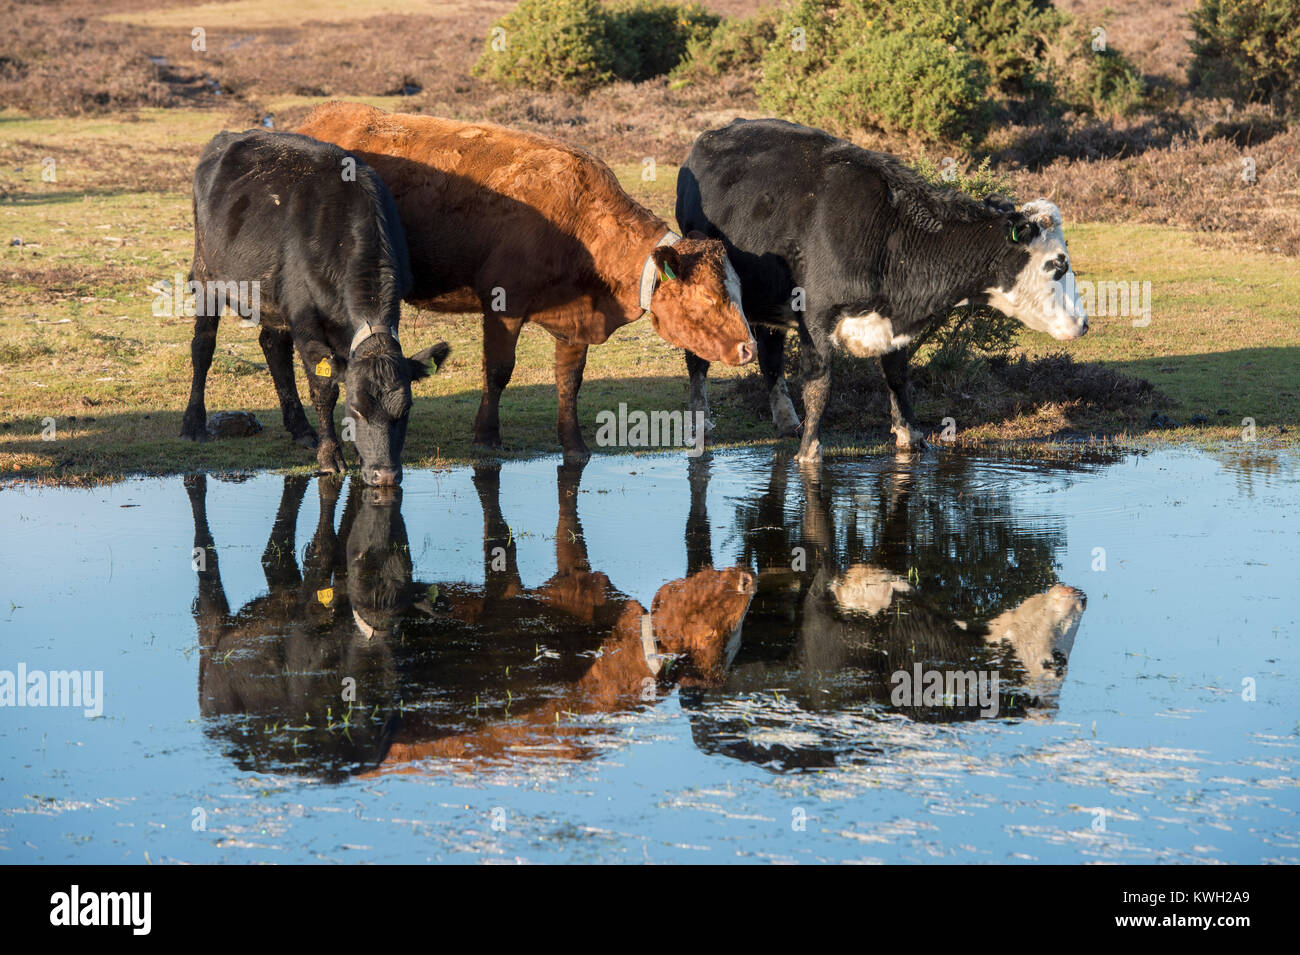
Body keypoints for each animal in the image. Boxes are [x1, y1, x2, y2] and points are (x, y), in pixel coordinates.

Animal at [181, 129, 450, 486]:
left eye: (405, 410)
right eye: (357, 407)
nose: (385, 475)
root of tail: (227, 137)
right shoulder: (305, 316)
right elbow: (324, 389)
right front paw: (330, 456)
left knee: (274, 348)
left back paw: (301, 428)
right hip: (205, 274)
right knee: (203, 346)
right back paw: (193, 424)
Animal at [296, 102, 757, 464]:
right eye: (710, 297)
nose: (748, 348)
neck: (581, 225)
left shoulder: (576, 319)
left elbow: (569, 380)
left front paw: (574, 444)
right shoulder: (503, 304)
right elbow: (499, 371)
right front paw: (487, 436)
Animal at [676, 118, 1089, 464]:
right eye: (1058, 264)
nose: (1083, 324)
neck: (891, 234)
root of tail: (714, 134)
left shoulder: (895, 320)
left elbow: (897, 376)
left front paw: (910, 436)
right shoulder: (817, 319)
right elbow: (819, 388)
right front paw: (809, 450)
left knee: (771, 353)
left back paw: (786, 419)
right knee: (697, 359)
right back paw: (701, 421)